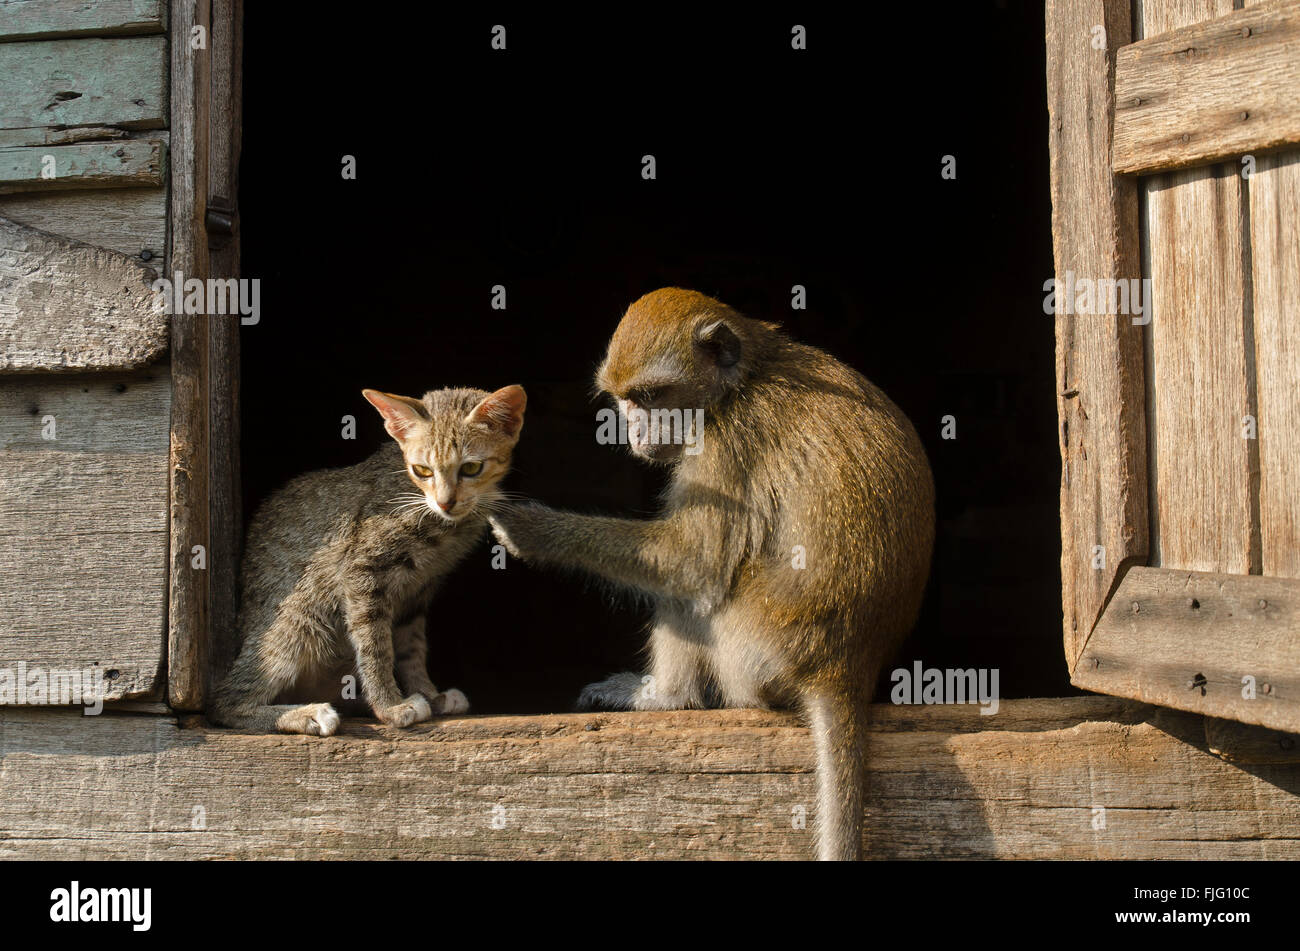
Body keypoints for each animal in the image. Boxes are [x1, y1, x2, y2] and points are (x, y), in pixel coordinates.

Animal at [488, 288, 934, 860]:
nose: (635, 431)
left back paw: (665, 697)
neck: (744, 380)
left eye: (652, 395)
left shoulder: (725, 444)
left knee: (695, 588)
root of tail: (847, 666)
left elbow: (692, 561)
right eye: (627, 400)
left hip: (757, 644)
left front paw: (532, 529)